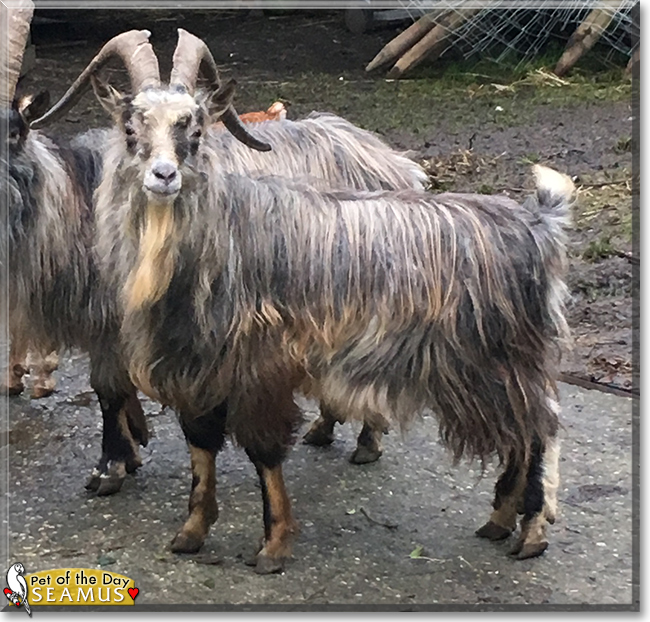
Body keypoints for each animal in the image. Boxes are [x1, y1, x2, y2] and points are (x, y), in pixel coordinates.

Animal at [45, 29, 572, 573]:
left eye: (195, 129)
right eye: (131, 129)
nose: (164, 175)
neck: (219, 237)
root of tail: (539, 227)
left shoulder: (260, 367)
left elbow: (264, 451)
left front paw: (273, 545)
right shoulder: (198, 368)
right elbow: (202, 445)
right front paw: (191, 532)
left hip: (504, 365)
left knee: (539, 433)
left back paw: (530, 533)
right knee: (522, 438)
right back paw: (500, 520)